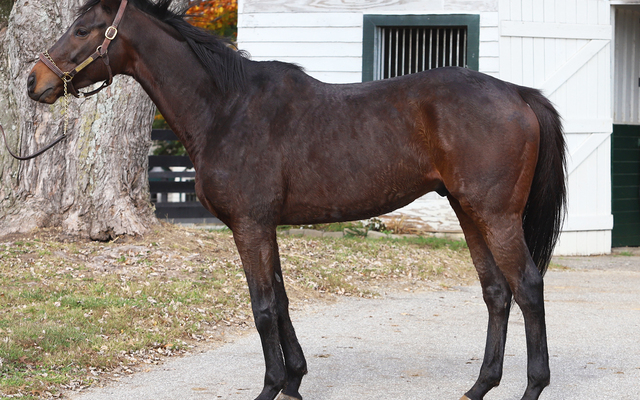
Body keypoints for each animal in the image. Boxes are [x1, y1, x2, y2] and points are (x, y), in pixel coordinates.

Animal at [26, 1, 566, 399]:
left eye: (81, 29)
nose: (35, 82)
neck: (226, 107)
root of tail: (517, 93)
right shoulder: (266, 225)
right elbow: (282, 300)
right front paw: (294, 381)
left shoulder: (249, 225)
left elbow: (263, 306)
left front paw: (270, 387)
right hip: (467, 211)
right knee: (496, 292)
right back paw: (479, 386)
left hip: (496, 216)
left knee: (527, 286)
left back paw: (532, 387)